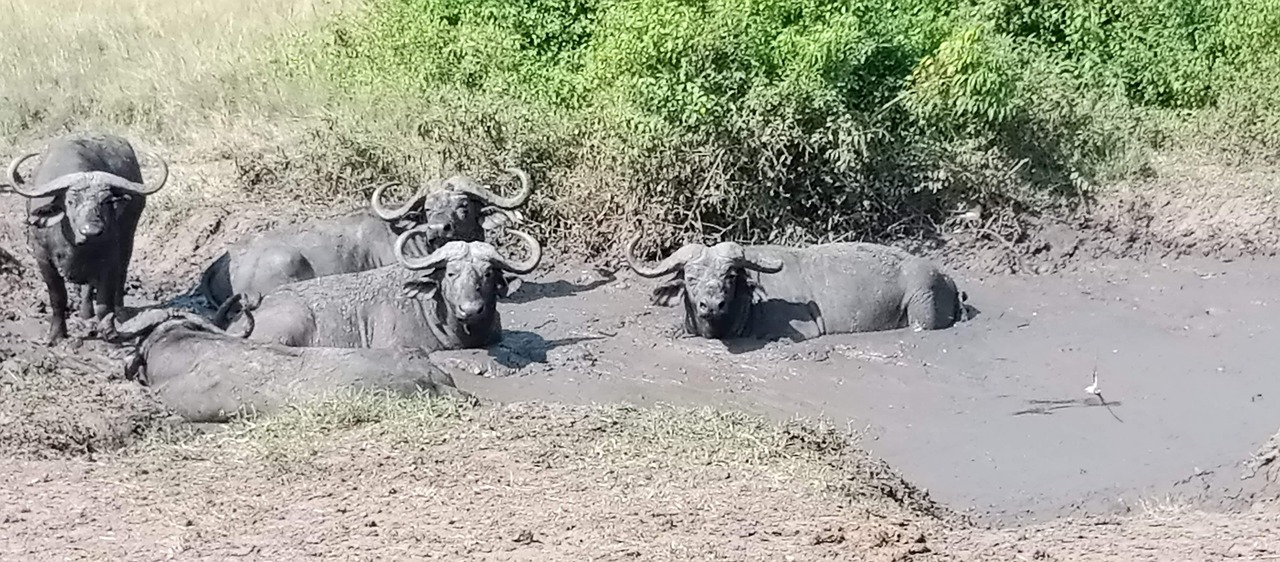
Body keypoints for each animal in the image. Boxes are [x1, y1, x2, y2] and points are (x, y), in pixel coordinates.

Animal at [5, 133, 169, 343]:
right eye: (70, 201)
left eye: (105, 201)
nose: (91, 230)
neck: (76, 247)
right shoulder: (42, 258)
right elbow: (58, 297)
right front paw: (56, 334)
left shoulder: (110, 258)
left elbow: (104, 303)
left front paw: (108, 330)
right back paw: (84, 312)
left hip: (128, 239)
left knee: (120, 276)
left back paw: (120, 312)